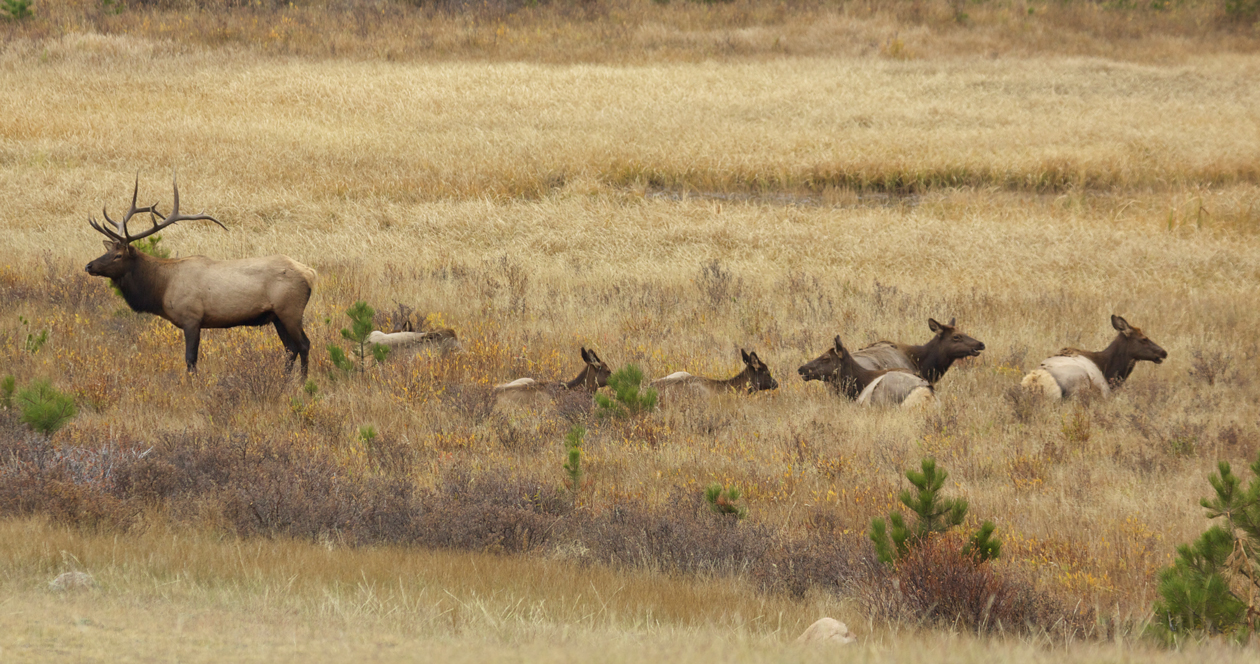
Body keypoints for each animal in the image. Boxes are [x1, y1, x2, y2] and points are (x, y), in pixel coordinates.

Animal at [85, 175, 316, 377]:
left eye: (118, 255)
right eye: (107, 250)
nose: (89, 265)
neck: (162, 288)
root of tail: (311, 273)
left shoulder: (192, 318)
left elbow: (190, 360)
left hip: (290, 309)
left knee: (304, 344)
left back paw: (302, 382)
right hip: (276, 315)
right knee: (290, 349)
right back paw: (284, 380)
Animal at [1022, 315, 1167, 399]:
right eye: (1144, 339)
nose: (1163, 352)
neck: (1109, 369)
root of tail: (1035, 381)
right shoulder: (1105, 391)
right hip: (1080, 381)